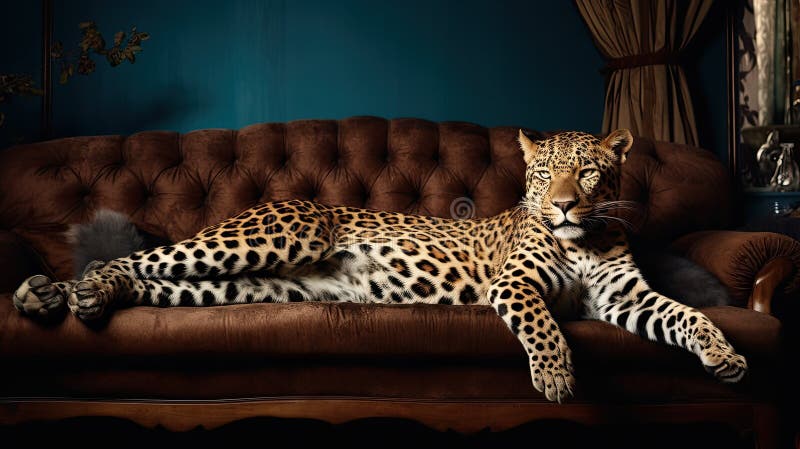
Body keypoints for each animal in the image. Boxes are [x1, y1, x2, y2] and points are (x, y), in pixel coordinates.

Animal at [12, 128, 747, 403]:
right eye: (545, 175)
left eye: (589, 172)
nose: (563, 204)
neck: (583, 241)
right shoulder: (515, 283)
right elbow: (544, 324)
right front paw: (558, 375)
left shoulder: (625, 299)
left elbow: (687, 314)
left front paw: (727, 355)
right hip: (279, 236)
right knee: (133, 256)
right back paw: (54, 294)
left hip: (251, 284)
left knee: (150, 279)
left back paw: (78, 299)